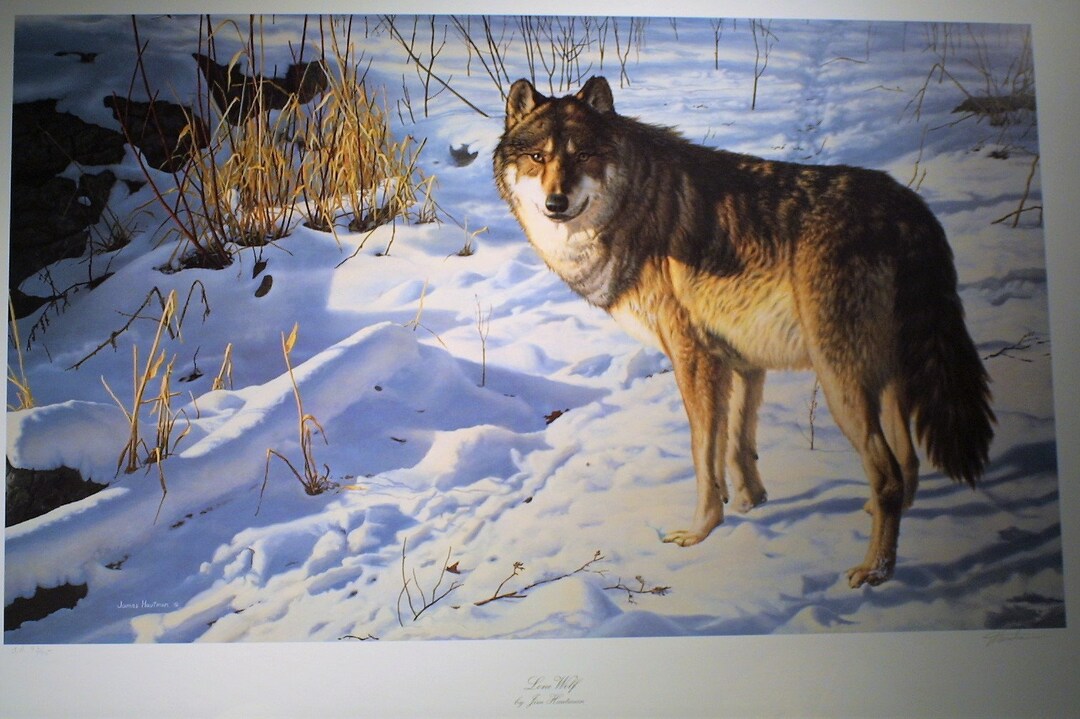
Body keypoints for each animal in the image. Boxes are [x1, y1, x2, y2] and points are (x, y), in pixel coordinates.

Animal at [494, 76, 995, 588]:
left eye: (582, 156)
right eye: (538, 157)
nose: (556, 203)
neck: (641, 202)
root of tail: (909, 206)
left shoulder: (693, 359)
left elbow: (702, 453)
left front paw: (699, 532)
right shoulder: (740, 361)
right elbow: (736, 443)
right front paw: (751, 503)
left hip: (842, 383)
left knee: (890, 473)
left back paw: (874, 572)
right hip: (887, 376)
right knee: (909, 461)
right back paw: (879, 523)